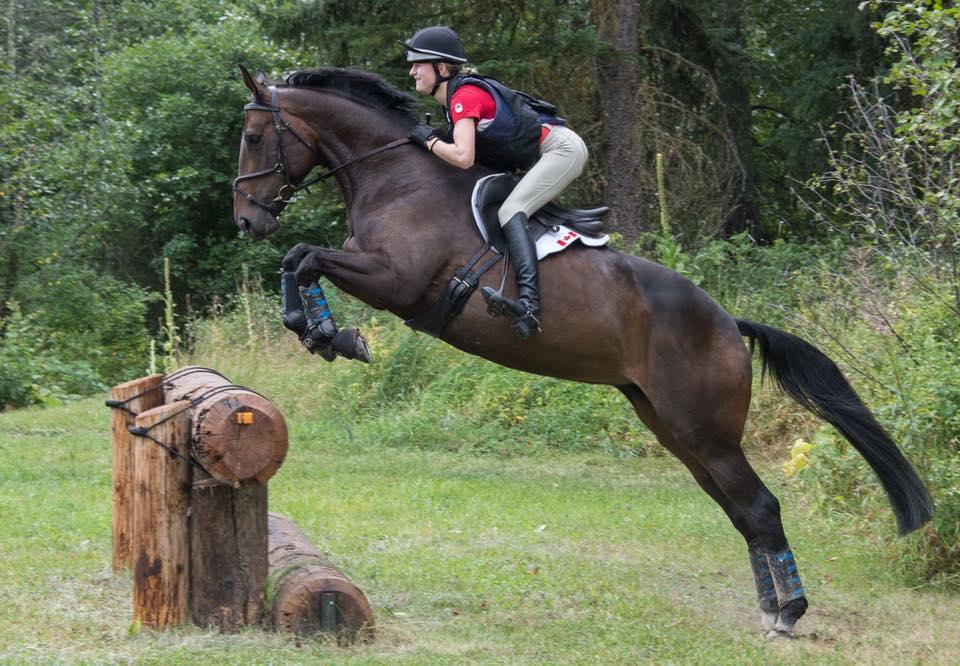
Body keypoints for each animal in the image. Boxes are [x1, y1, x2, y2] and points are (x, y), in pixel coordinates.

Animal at [232, 65, 932, 637]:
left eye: (256, 138)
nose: (246, 221)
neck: (395, 177)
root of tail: (728, 323)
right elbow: (299, 258)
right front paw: (316, 330)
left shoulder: (396, 280)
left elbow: (306, 257)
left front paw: (333, 334)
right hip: (672, 426)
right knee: (740, 511)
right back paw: (771, 606)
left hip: (703, 429)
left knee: (758, 506)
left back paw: (788, 614)